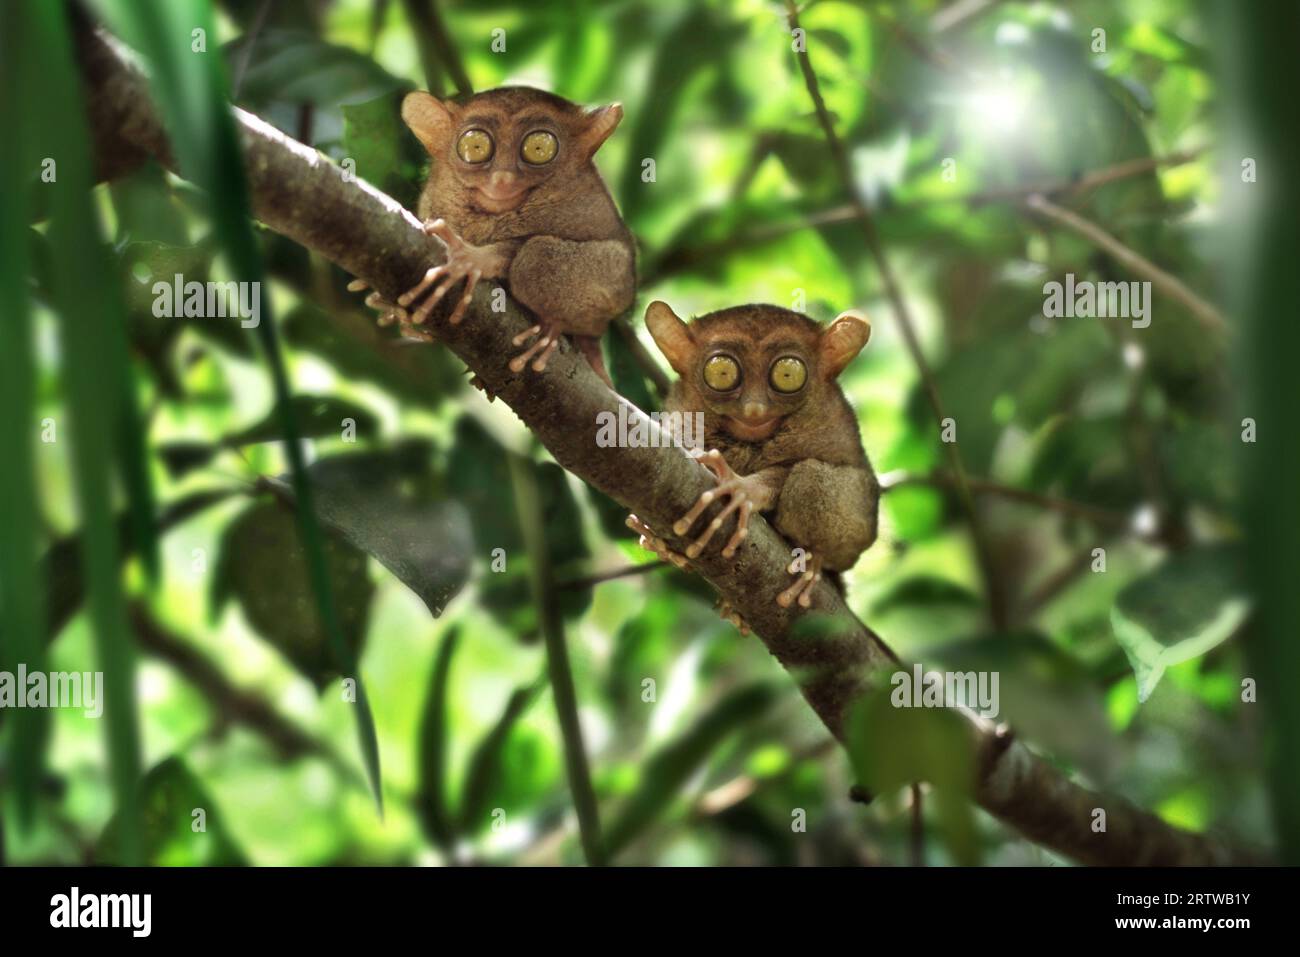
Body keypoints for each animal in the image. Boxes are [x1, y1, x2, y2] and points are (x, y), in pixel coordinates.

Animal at [350, 86, 635, 386]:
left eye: (539, 148)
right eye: (475, 147)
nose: (502, 178)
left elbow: (514, 248)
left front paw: (468, 260)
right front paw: (384, 302)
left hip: (615, 279)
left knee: (534, 258)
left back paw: (551, 328)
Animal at [627, 301, 879, 626]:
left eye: (788, 374)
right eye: (722, 372)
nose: (754, 409)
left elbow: (791, 469)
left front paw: (742, 491)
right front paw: (653, 536)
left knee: (809, 477)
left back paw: (813, 562)